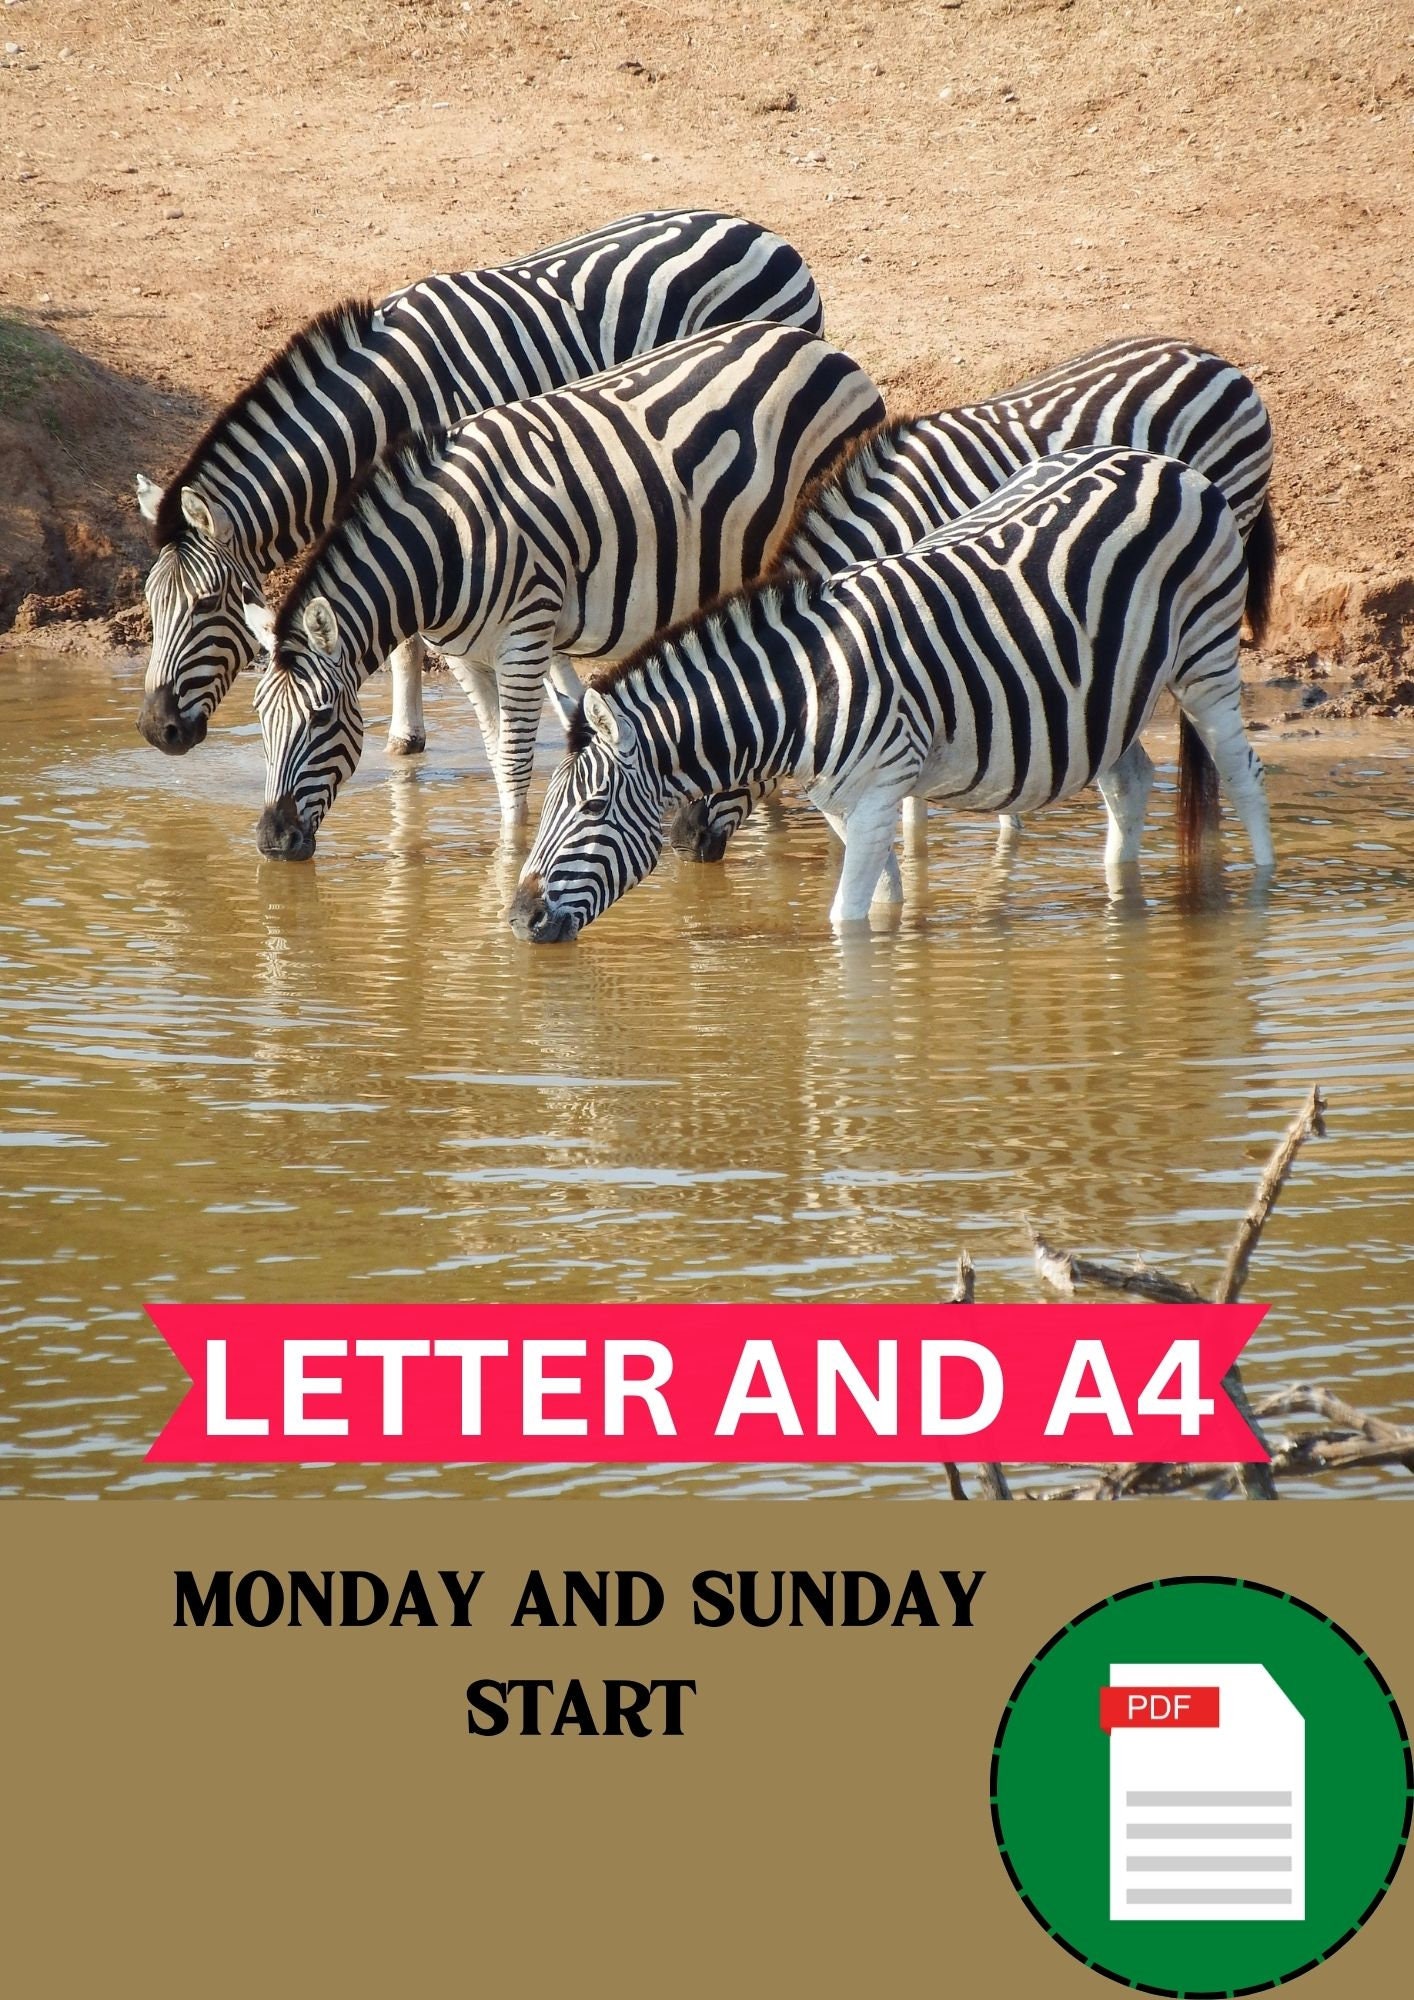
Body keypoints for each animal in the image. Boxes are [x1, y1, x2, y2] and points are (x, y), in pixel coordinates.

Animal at [132, 209, 826, 758]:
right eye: (149, 603)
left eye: (206, 604)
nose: (154, 730)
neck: (379, 407)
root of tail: (762, 231)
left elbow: (425, 634)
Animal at [246, 320, 885, 859]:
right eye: (259, 719)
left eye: (321, 718)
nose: (273, 841)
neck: (445, 546)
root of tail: (821, 347)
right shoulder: (465, 657)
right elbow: (498, 757)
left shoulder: (526, 637)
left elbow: (514, 761)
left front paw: (509, 858)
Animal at [507, 445, 1274, 941]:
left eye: (593, 807)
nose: (518, 919)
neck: (804, 688)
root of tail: (1166, 464)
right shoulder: (845, 805)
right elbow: (882, 904)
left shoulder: (880, 791)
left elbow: (846, 921)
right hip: (1106, 695)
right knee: (1131, 780)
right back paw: (1122, 896)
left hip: (1205, 657)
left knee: (1241, 775)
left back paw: (1261, 893)